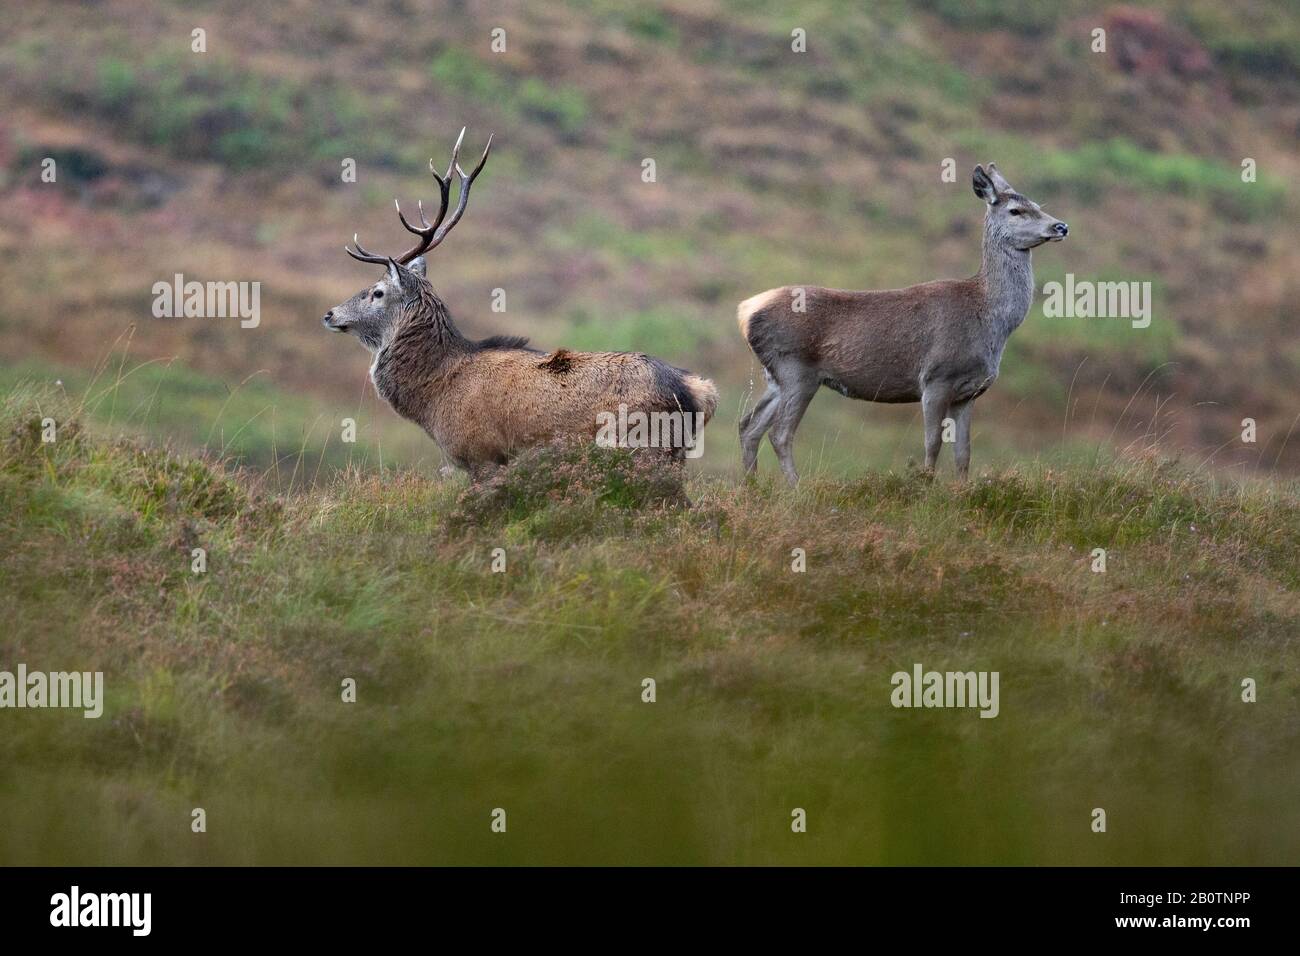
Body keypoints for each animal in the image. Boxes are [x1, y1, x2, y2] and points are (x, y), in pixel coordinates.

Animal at [321, 129, 718, 481]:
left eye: (377, 292)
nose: (329, 313)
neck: (435, 396)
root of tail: (699, 392)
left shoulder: (481, 454)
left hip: (644, 447)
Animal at [737, 163, 1068, 484]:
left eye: (1038, 205)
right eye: (1015, 211)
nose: (1061, 226)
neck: (989, 320)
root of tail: (745, 310)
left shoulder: (969, 392)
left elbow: (964, 453)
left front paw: (963, 492)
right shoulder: (936, 377)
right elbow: (932, 443)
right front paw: (924, 486)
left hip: (775, 376)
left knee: (748, 426)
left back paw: (753, 487)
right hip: (796, 369)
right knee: (779, 434)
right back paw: (796, 487)